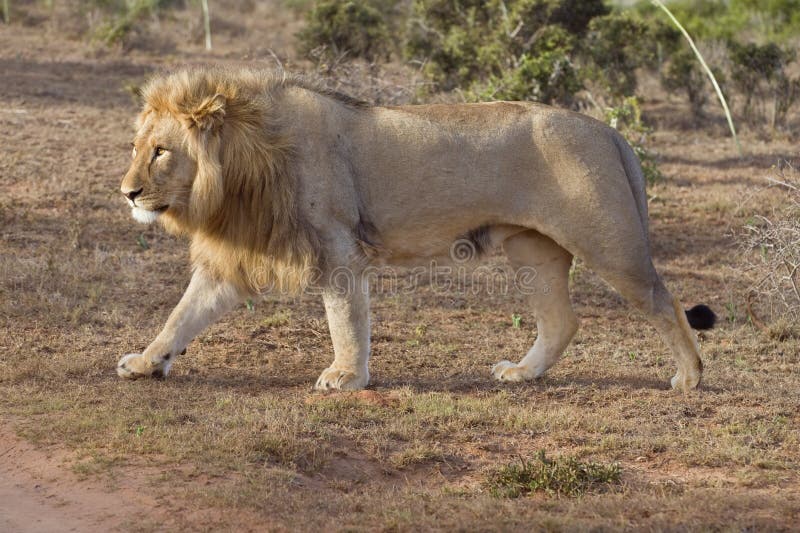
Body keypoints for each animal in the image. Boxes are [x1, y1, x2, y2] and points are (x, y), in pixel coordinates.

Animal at [117, 66, 715, 392]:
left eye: (161, 151)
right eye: (136, 148)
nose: (127, 193)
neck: (243, 167)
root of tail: (607, 130)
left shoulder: (339, 248)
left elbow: (346, 320)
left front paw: (345, 377)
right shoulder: (230, 262)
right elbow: (181, 317)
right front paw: (147, 362)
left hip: (607, 242)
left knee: (662, 300)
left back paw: (689, 378)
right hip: (533, 251)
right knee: (562, 321)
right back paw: (523, 373)